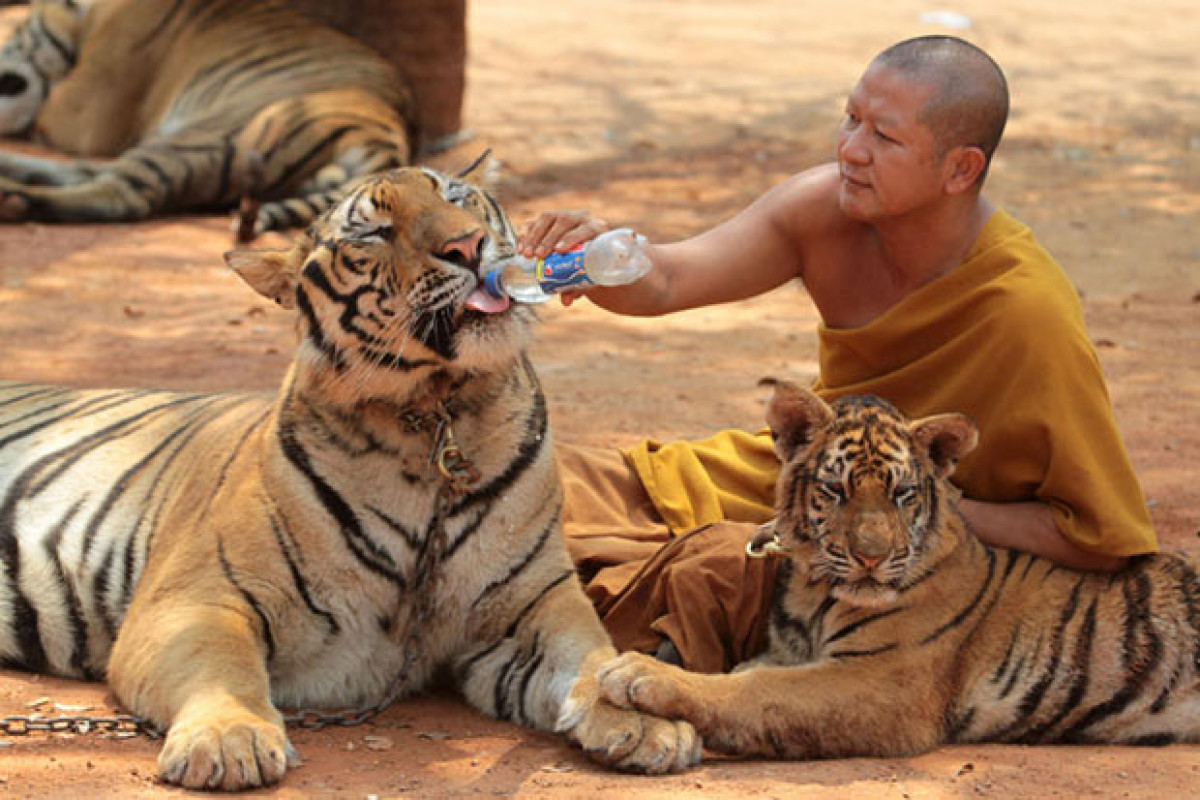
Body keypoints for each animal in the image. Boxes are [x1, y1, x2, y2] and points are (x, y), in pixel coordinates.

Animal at [0, 0, 416, 237]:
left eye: (13, 31)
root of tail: (392, 136)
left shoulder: (83, 112)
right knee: (89, 172)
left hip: (212, 137)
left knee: (124, 193)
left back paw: (13, 199)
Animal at [0, 164, 700, 790]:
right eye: (374, 232)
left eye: (455, 195)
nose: (468, 246)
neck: (438, 413)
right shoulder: (193, 598)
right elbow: (220, 665)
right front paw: (228, 740)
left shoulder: (535, 600)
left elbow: (590, 653)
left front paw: (642, 716)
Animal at [598, 379, 1199, 758]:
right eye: (835, 490)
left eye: (903, 493)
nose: (872, 557)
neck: (811, 588)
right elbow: (742, 675)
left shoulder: (880, 681)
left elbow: (754, 692)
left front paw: (639, 674)